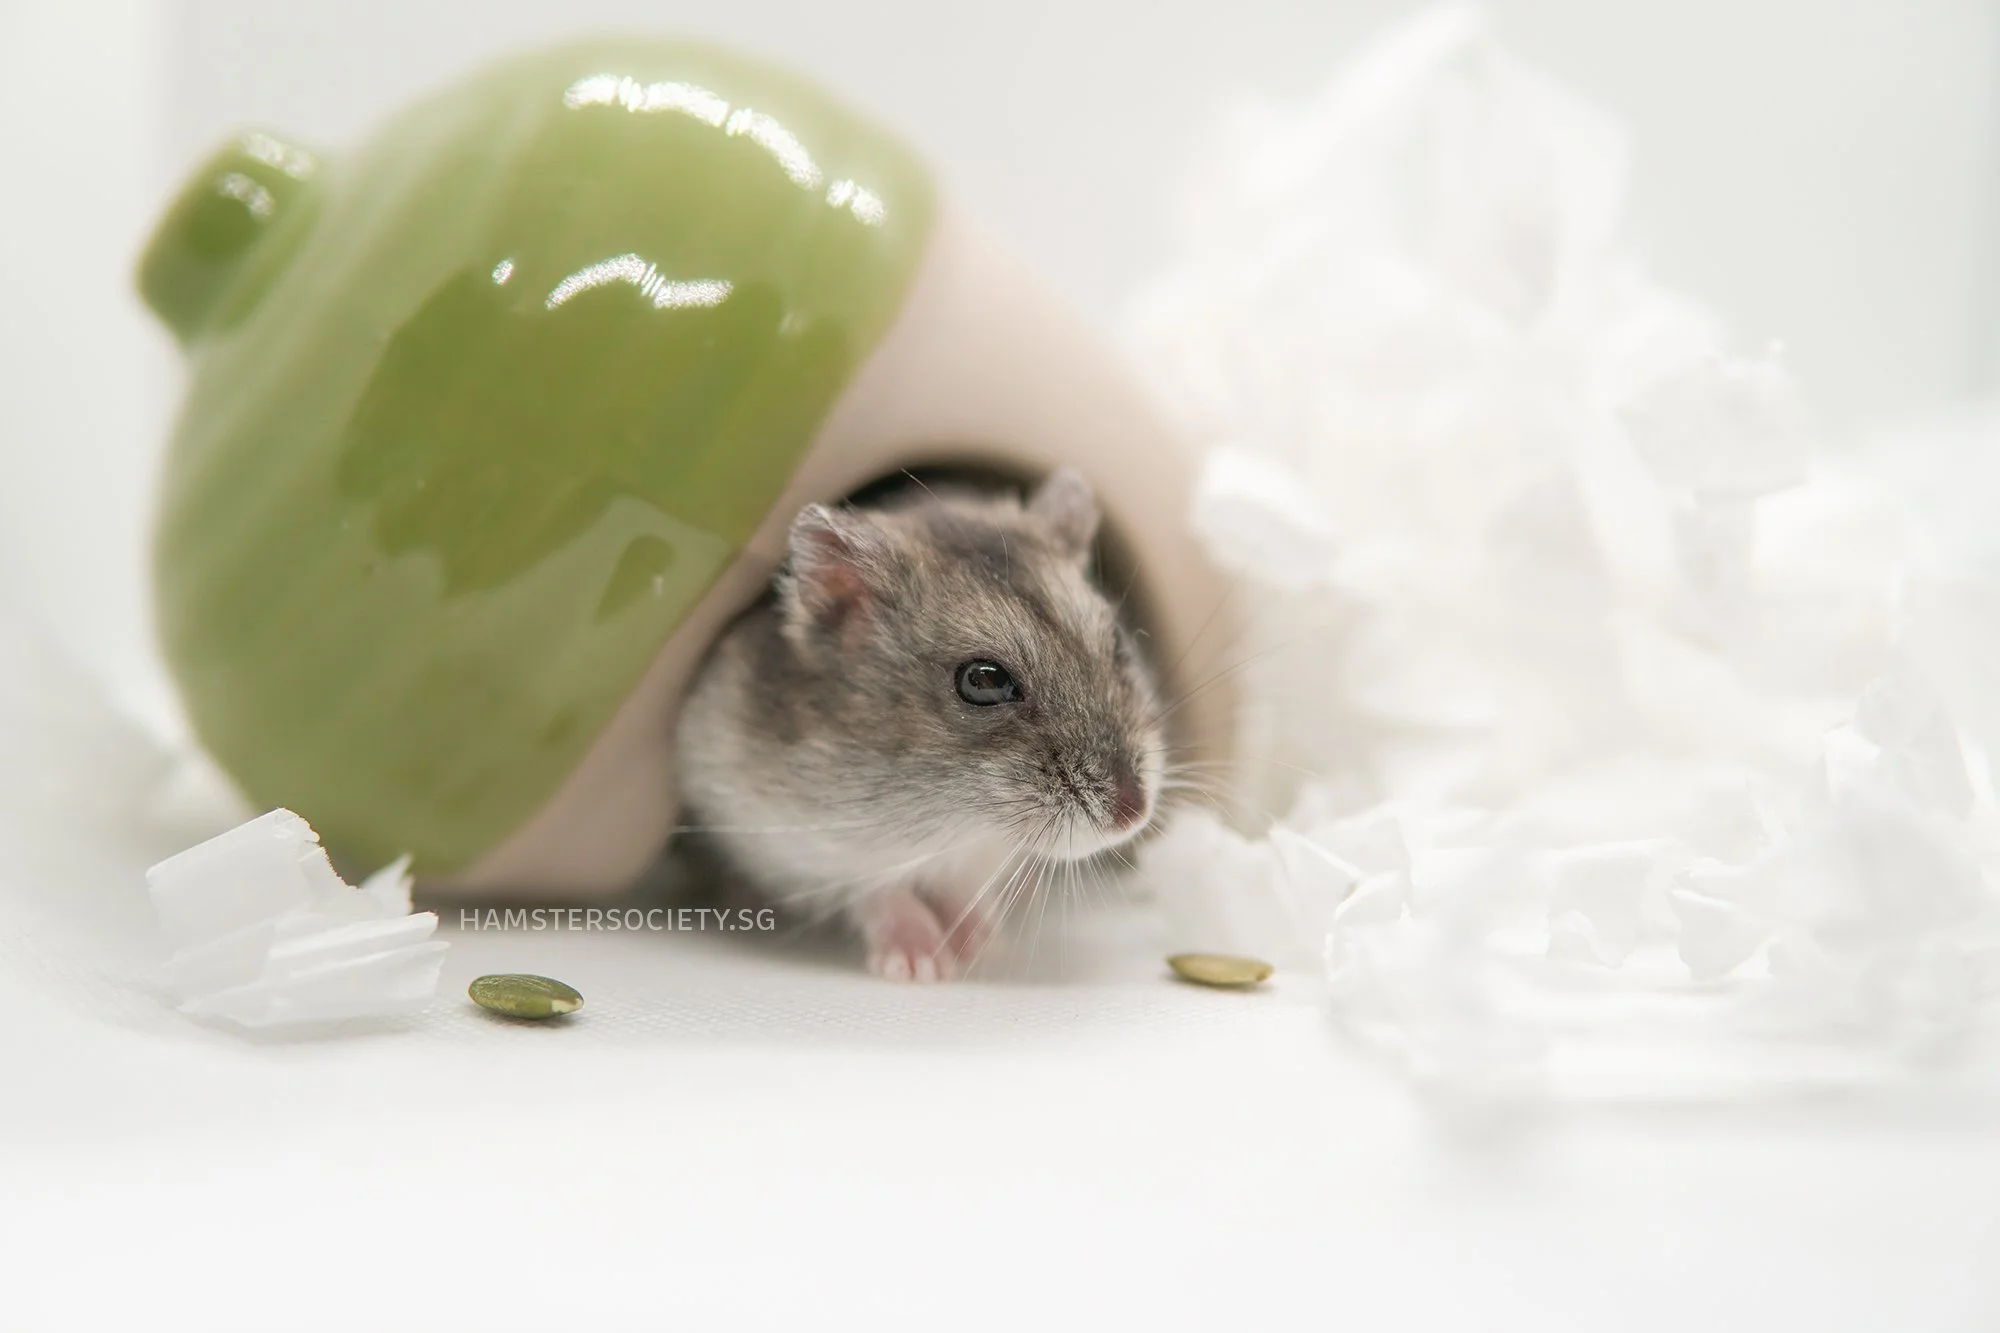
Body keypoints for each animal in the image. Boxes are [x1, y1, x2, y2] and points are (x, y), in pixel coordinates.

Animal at [673, 469, 1165, 981]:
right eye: (983, 681)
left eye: (1117, 643)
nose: (1133, 815)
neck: (952, 819)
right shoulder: (799, 844)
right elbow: (879, 893)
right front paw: (921, 967)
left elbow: (963, 890)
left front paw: (982, 947)